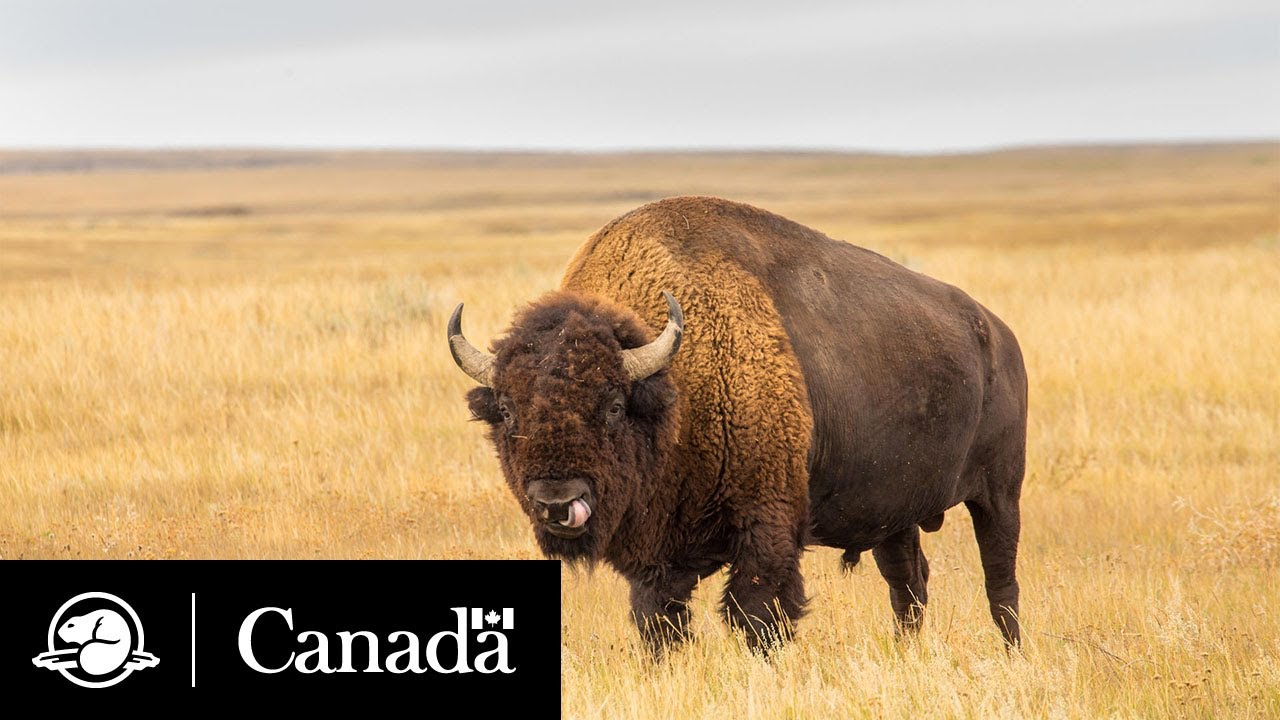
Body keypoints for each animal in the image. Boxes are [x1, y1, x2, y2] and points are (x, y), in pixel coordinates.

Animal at [449, 196, 1027, 652]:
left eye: (613, 405)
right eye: (507, 410)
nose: (556, 502)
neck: (674, 389)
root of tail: (998, 334)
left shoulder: (765, 527)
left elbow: (757, 615)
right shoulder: (656, 558)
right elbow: (659, 624)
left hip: (999, 494)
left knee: (999, 579)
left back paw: (1012, 652)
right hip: (896, 511)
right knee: (908, 582)